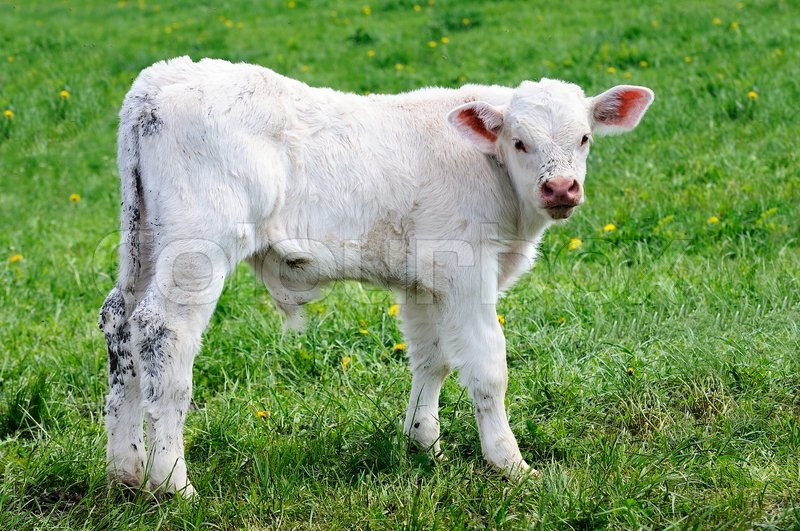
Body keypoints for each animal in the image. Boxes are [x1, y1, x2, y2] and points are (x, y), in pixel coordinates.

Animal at [99, 56, 654, 497]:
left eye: (584, 137)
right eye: (518, 142)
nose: (561, 188)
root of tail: (158, 81)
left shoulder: (424, 282)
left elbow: (432, 359)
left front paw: (423, 445)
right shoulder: (465, 270)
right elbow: (486, 364)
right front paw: (509, 463)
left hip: (144, 243)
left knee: (119, 323)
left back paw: (126, 470)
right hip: (197, 248)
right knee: (162, 332)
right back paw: (173, 482)